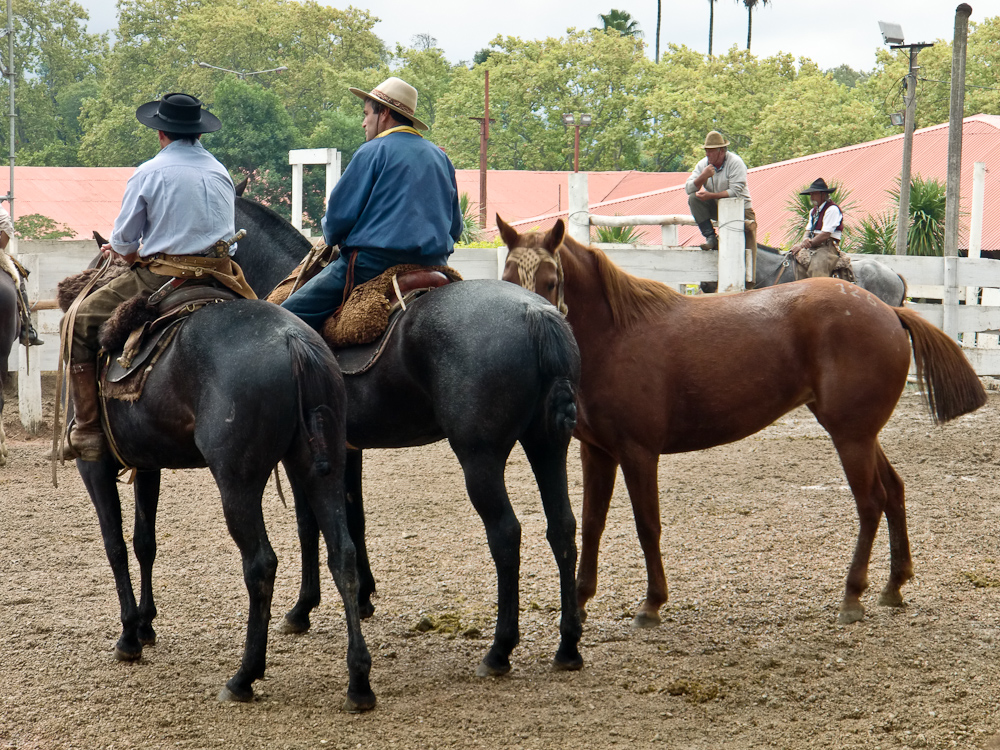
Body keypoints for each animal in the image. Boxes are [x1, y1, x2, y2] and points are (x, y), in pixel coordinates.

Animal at [71, 295, 375, 709]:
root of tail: (293, 340)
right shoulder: (148, 464)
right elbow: (144, 543)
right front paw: (146, 624)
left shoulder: (94, 465)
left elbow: (114, 546)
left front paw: (130, 635)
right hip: (319, 470)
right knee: (342, 553)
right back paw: (358, 680)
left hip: (237, 485)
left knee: (261, 564)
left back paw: (244, 675)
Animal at [233, 195, 584, 677]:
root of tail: (536, 313)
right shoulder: (348, 450)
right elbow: (353, 517)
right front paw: (363, 596)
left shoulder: (303, 455)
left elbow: (310, 525)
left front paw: (303, 608)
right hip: (548, 445)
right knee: (562, 527)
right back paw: (568, 645)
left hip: (480, 458)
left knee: (506, 534)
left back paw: (500, 649)